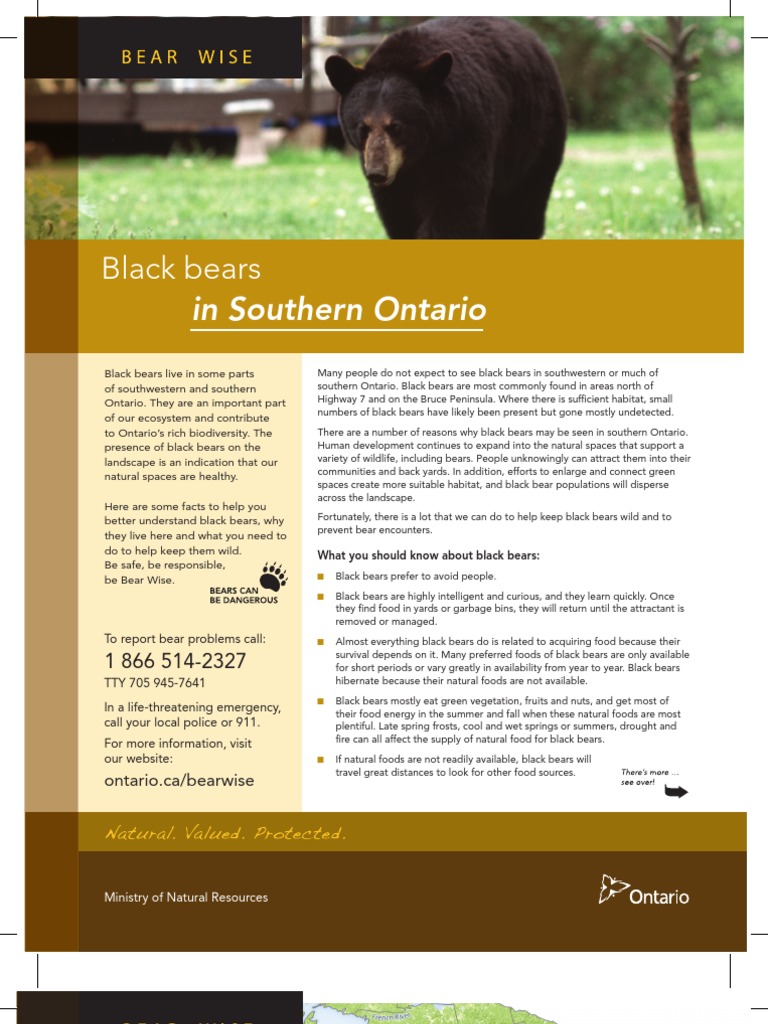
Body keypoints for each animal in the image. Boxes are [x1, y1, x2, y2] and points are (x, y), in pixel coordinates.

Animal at [325, 17, 568, 240]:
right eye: (362, 127)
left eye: (396, 127)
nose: (377, 173)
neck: (421, 154)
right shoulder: (394, 176)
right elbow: (399, 214)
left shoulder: (464, 136)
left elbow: (454, 204)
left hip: (536, 136)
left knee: (525, 203)